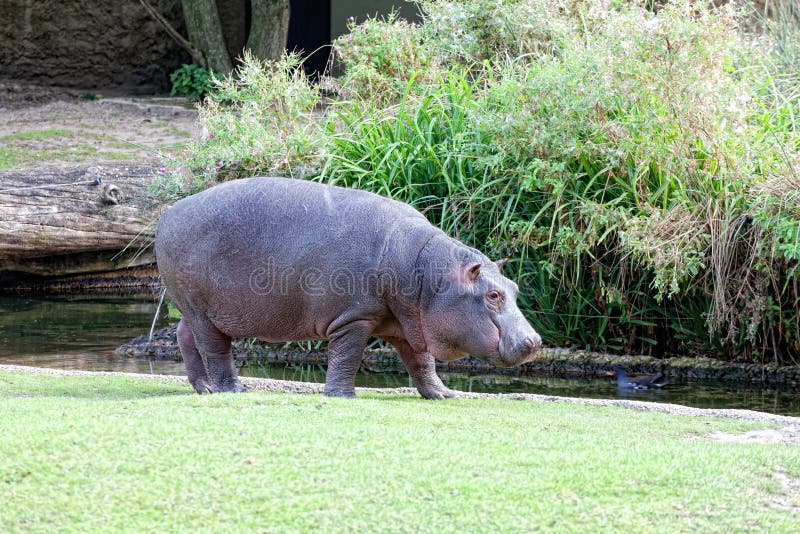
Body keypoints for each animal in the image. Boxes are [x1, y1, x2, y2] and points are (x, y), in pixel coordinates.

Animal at [154, 177, 542, 398]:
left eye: (513, 287)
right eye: (492, 295)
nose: (535, 341)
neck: (429, 274)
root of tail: (168, 213)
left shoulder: (409, 324)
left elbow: (422, 363)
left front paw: (444, 395)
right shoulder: (353, 317)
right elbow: (348, 355)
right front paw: (342, 395)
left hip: (191, 306)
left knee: (184, 336)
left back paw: (203, 388)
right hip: (203, 310)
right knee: (214, 346)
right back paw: (233, 389)